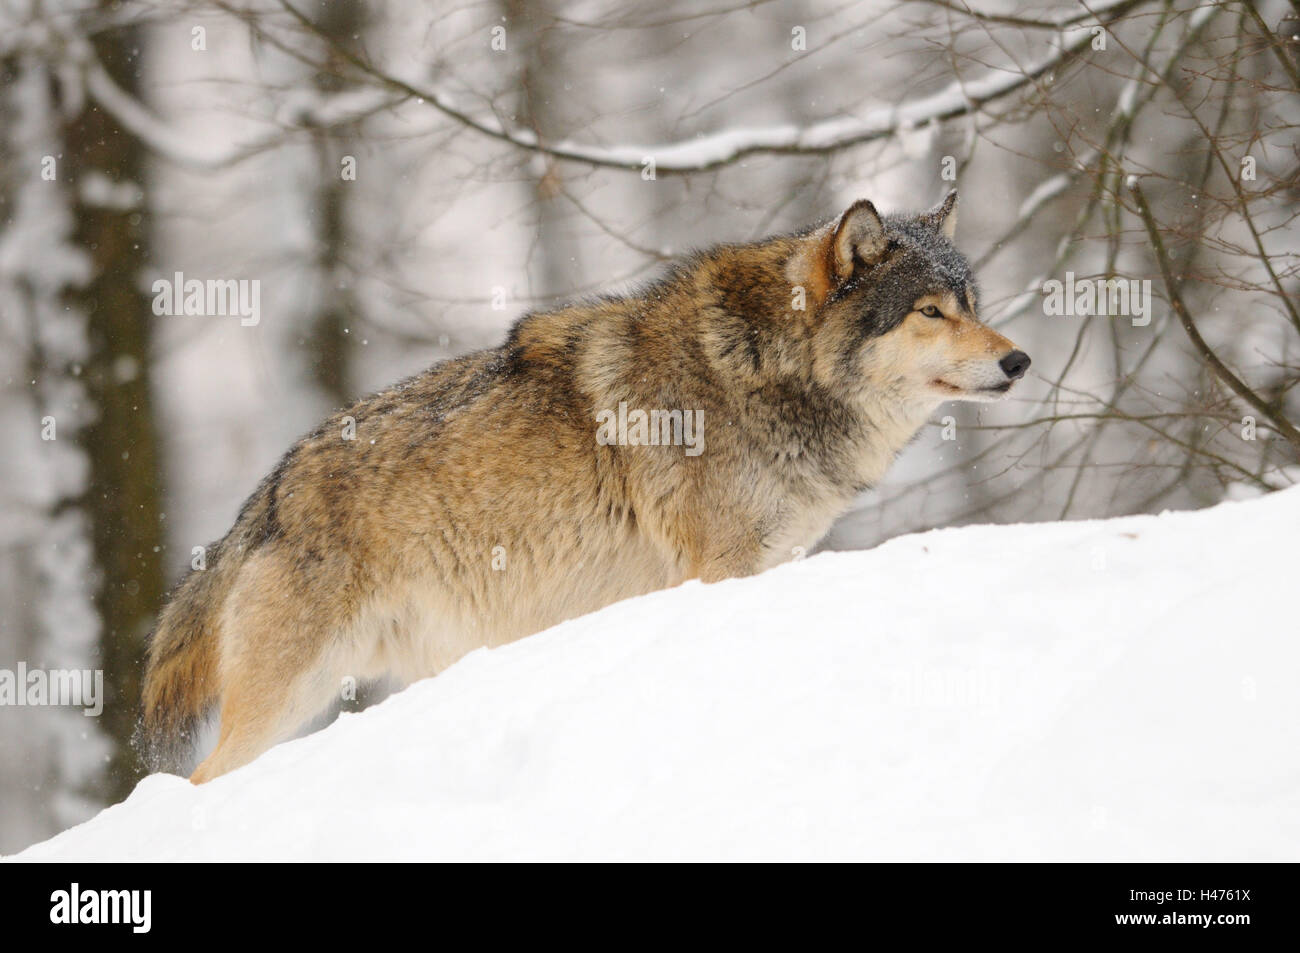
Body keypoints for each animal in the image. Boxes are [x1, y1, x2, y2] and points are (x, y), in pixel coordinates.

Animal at [139, 190, 1030, 782]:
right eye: (929, 311)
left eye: (971, 302)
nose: (1019, 359)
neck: (761, 368)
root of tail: (267, 494)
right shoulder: (721, 569)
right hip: (287, 697)